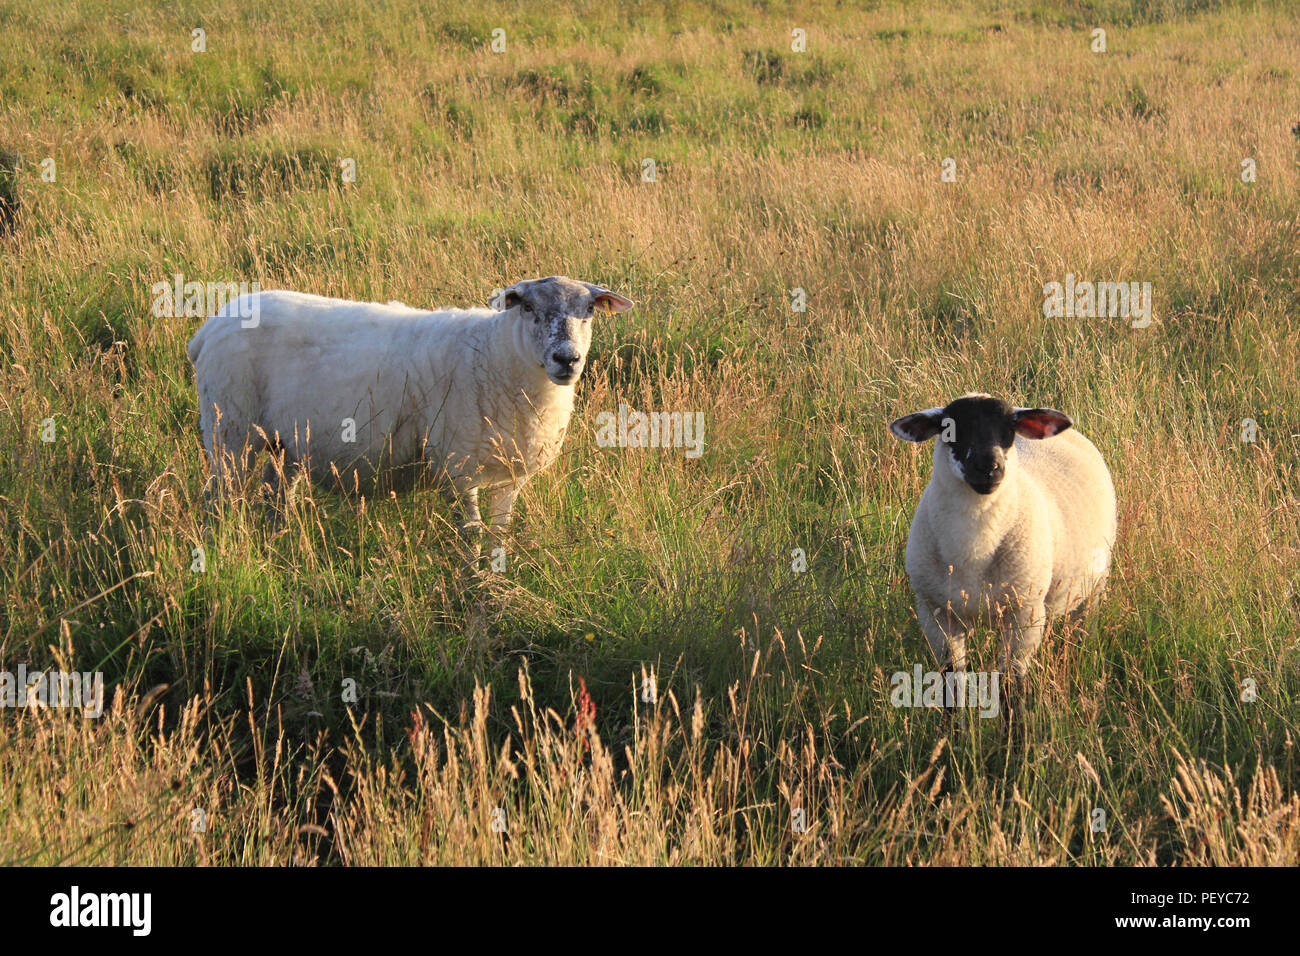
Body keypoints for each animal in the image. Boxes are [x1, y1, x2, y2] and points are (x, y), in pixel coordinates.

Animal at [187, 276, 634, 553]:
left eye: (589, 311)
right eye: (528, 308)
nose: (567, 359)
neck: (496, 353)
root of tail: (209, 328)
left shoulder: (509, 476)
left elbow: (498, 536)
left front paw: (496, 577)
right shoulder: (458, 467)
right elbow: (470, 537)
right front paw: (474, 588)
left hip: (285, 443)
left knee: (276, 495)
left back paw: (277, 544)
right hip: (229, 431)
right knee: (218, 500)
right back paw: (219, 550)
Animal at [889, 393, 1117, 680]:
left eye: (1009, 429)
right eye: (950, 428)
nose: (988, 467)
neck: (973, 549)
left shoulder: (1025, 614)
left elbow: (1012, 681)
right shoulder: (936, 615)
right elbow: (951, 677)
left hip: (1096, 582)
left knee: (1083, 622)